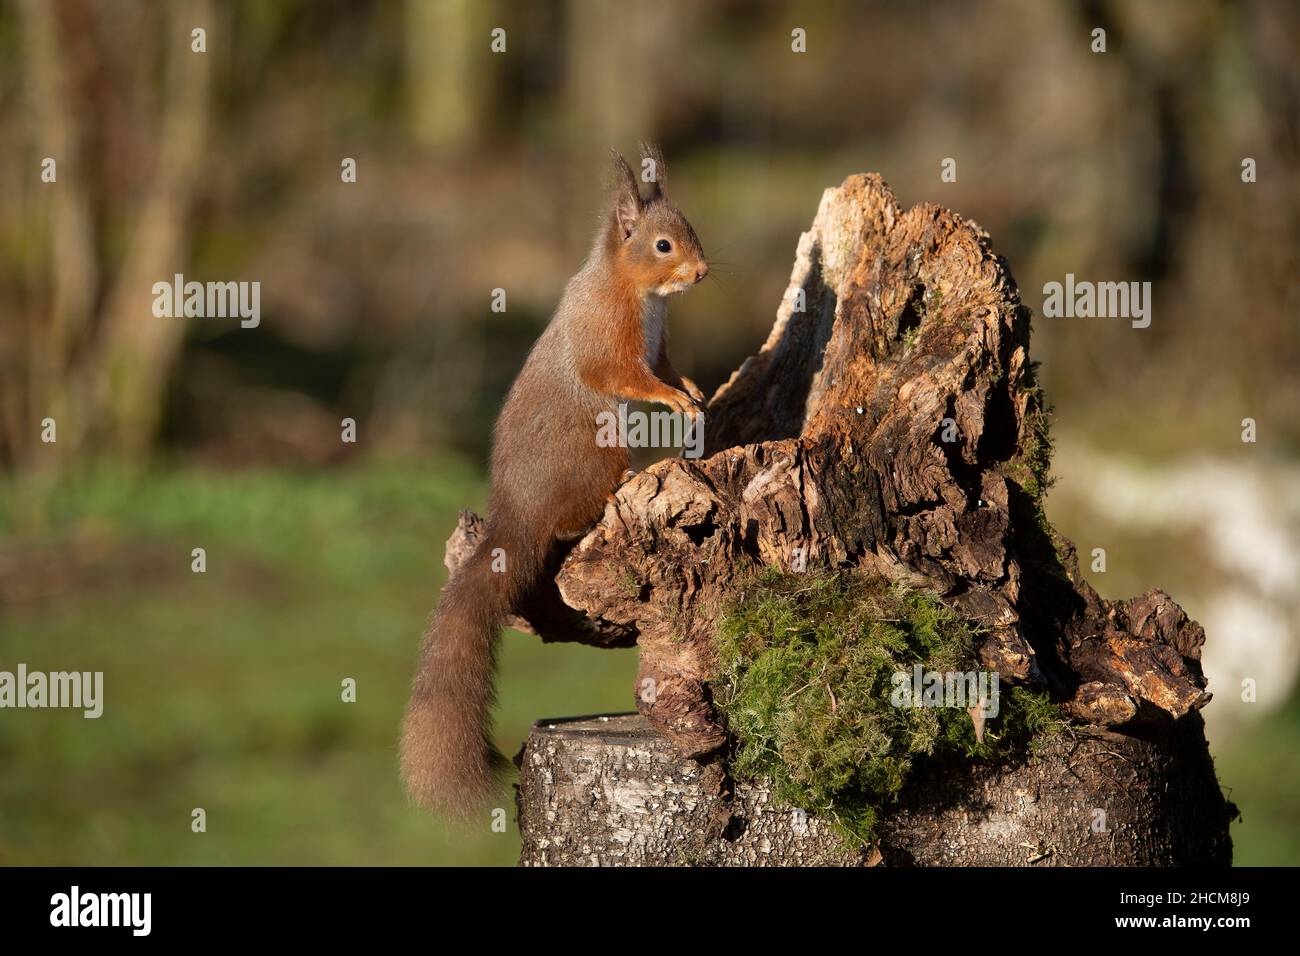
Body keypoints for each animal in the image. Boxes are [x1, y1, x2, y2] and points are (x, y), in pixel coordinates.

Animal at [400, 143, 709, 817]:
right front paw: (671, 398)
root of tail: (515, 511)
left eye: (690, 231)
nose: (701, 272)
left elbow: (667, 365)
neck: (636, 290)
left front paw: (692, 388)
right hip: (598, 452)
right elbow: (623, 374)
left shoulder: (659, 344)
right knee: (573, 516)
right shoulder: (609, 337)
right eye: (663, 245)